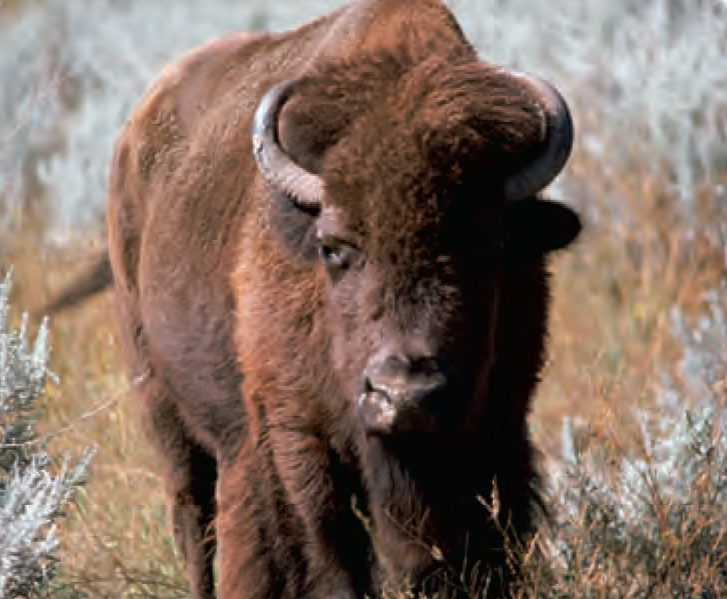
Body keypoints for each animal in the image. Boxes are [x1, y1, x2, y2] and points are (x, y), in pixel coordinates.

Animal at [43, 0, 582, 597]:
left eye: (491, 243)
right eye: (332, 247)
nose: (404, 395)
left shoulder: (499, 430)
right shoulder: (298, 437)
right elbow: (327, 559)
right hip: (163, 406)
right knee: (194, 520)